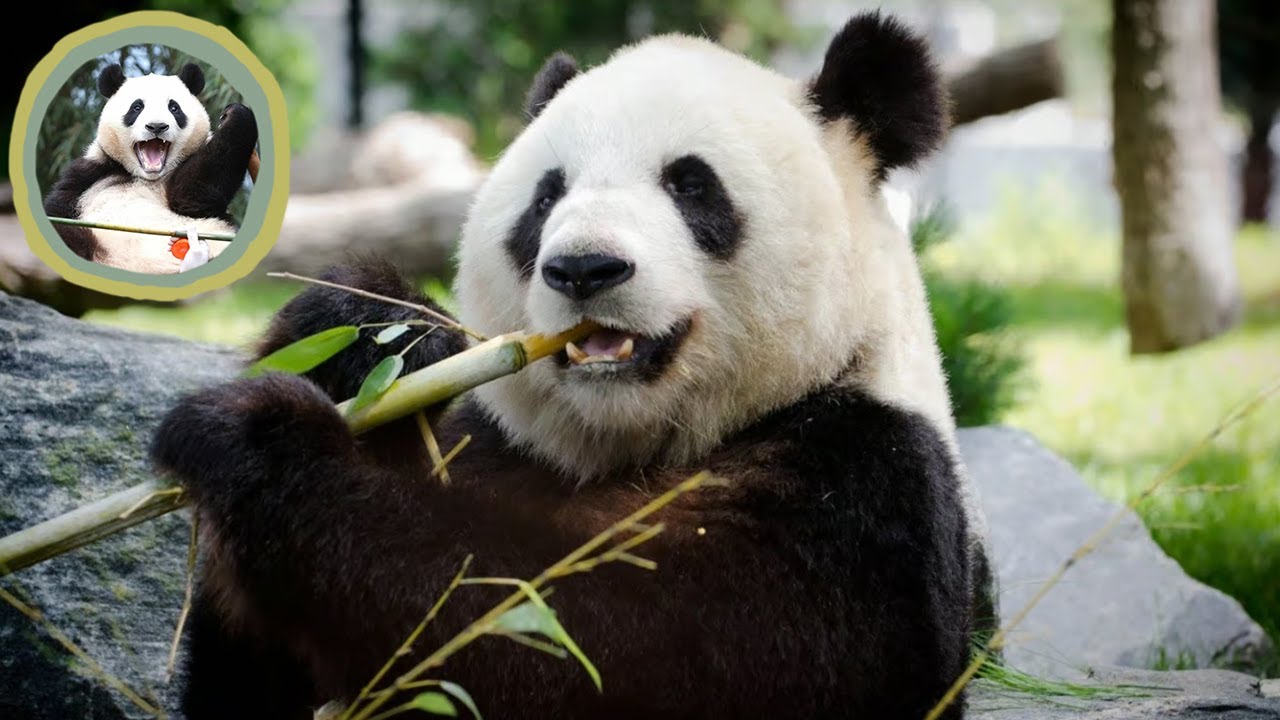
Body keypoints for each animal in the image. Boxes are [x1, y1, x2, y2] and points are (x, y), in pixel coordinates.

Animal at [42, 62, 257, 274]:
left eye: (174, 108)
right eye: (137, 107)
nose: (157, 126)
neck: (148, 177)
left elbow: (193, 195)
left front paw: (234, 115)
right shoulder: (89, 174)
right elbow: (58, 210)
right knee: (73, 236)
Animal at [152, 12, 990, 720]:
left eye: (692, 185)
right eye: (546, 197)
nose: (584, 268)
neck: (622, 442)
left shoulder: (860, 494)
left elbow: (593, 643)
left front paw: (256, 442)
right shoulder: (493, 444)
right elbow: (246, 689)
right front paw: (363, 333)